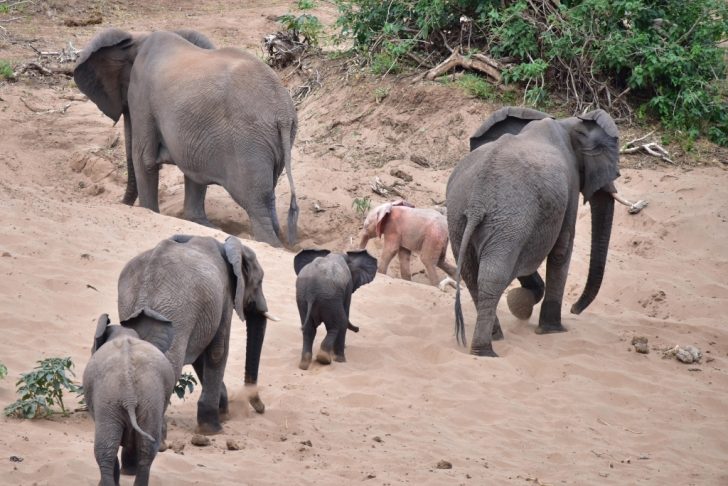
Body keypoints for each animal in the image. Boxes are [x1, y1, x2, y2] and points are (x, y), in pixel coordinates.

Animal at [74, 28, 298, 247]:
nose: (122, 204)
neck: (139, 39)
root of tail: (283, 113)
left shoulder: (141, 94)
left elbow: (144, 159)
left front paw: (149, 211)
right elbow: (193, 166)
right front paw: (197, 221)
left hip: (248, 142)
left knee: (256, 202)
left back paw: (270, 243)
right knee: (268, 196)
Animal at [83, 314, 176, 486]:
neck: (124, 333)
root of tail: (129, 394)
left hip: (108, 398)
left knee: (105, 449)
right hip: (150, 398)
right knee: (146, 448)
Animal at [117, 234, 276, 440]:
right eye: (260, 281)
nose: (261, 408)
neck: (226, 246)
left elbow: (202, 356)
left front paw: (223, 415)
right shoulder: (224, 294)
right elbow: (218, 351)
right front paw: (213, 429)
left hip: (133, 308)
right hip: (175, 314)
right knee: (171, 364)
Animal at [447, 106, 622, 357]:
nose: (575, 309)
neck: (567, 122)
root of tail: (477, 200)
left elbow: (527, 256)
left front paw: (520, 304)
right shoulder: (569, 184)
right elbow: (562, 249)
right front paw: (551, 330)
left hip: (462, 218)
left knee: (473, 274)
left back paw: (494, 337)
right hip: (508, 217)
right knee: (494, 275)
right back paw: (485, 351)